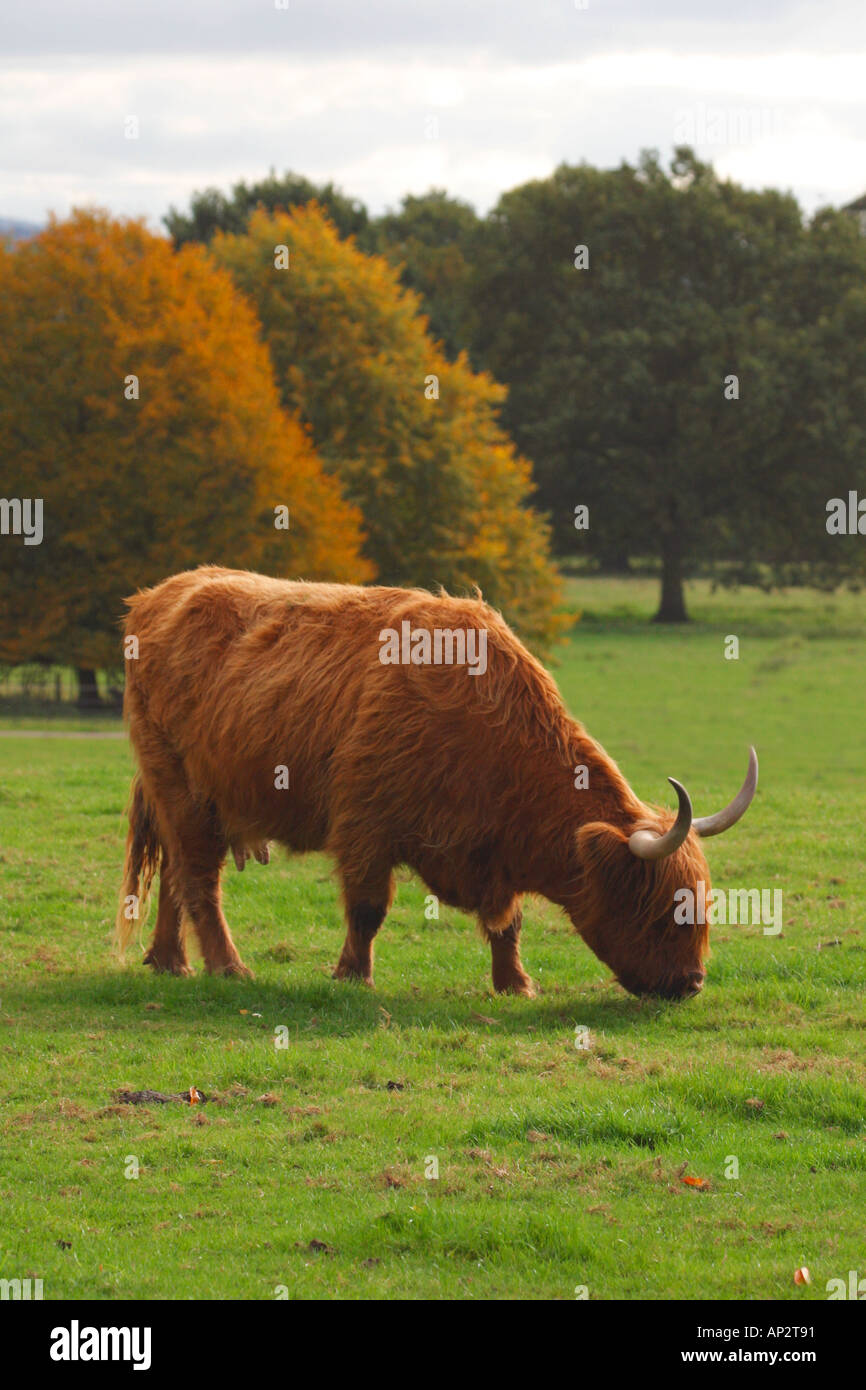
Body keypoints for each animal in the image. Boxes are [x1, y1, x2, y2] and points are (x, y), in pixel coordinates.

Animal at [116, 566, 757, 1000]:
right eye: (659, 905)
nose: (691, 983)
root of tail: (156, 596)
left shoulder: (494, 854)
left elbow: (509, 922)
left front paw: (515, 982)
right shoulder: (365, 825)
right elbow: (368, 909)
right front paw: (353, 976)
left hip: (194, 799)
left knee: (175, 872)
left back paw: (169, 960)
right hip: (180, 787)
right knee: (199, 879)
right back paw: (227, 967)